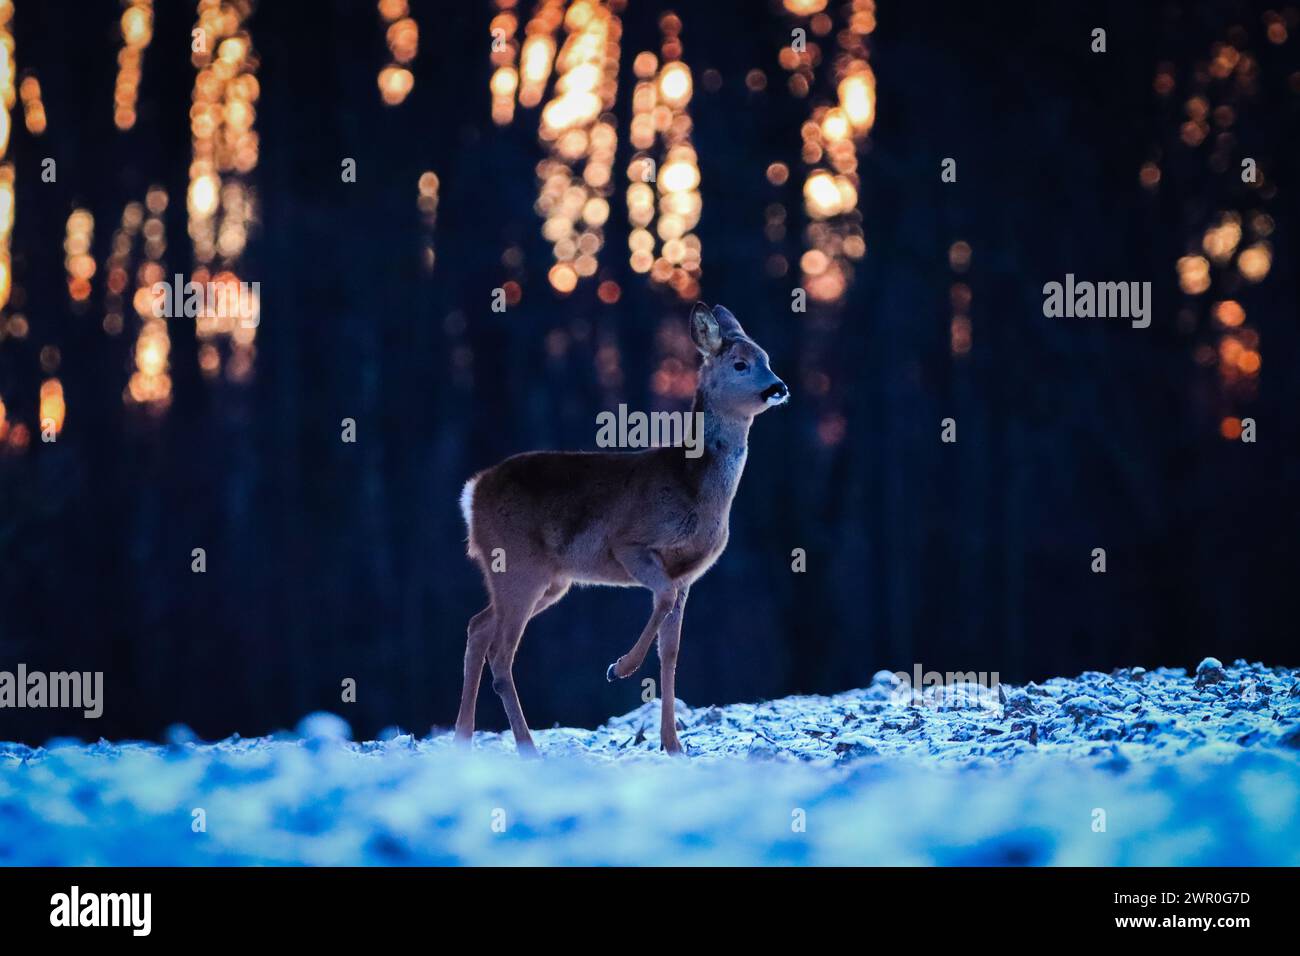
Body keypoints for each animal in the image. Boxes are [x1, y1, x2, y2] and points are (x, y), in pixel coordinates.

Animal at [454, 302, 789, 755]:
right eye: (740, 364)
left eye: (767, 358)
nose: (778, 387)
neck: (693, 484)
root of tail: (472, 492)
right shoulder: (629, 544)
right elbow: (660, 600)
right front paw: (620, 668)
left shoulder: (687, 575)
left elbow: (672, 651)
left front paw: (672, 743)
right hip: (519, 566)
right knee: (501, 653)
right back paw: (527, 748)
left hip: (547, 580)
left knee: (478, 627)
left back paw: (462, 738)